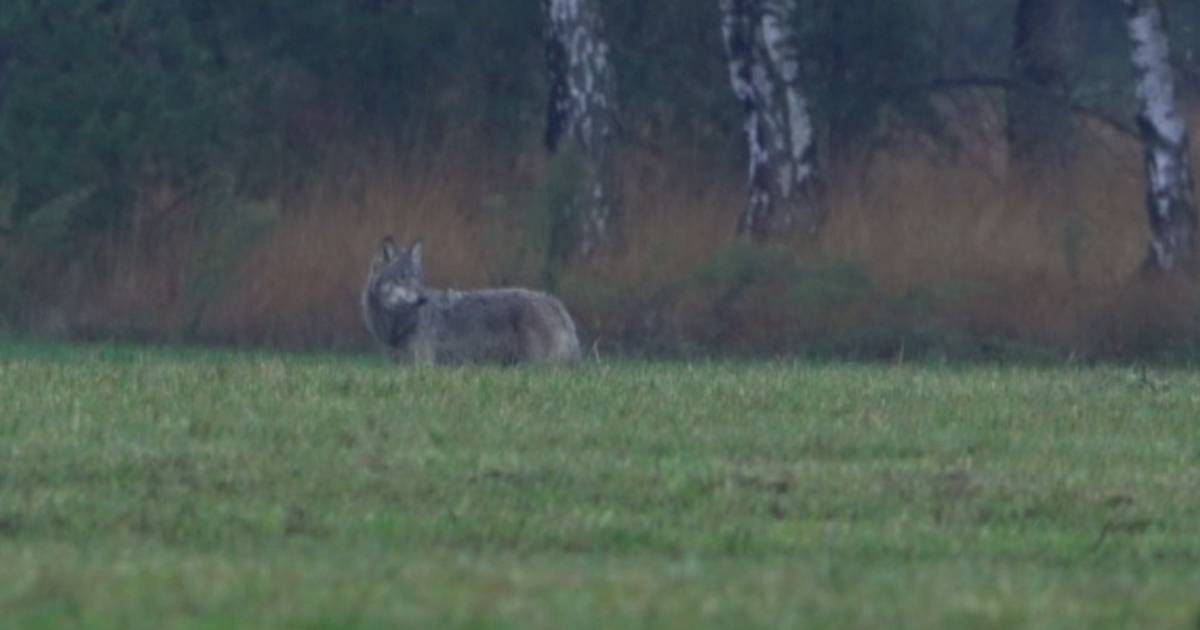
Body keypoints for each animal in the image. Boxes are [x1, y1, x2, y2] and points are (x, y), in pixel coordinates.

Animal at [362, 237, 582, 365]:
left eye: (417, 278)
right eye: (402, 277)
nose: (423, 298)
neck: (396, 323)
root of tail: (554, 302)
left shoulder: (424, 366)